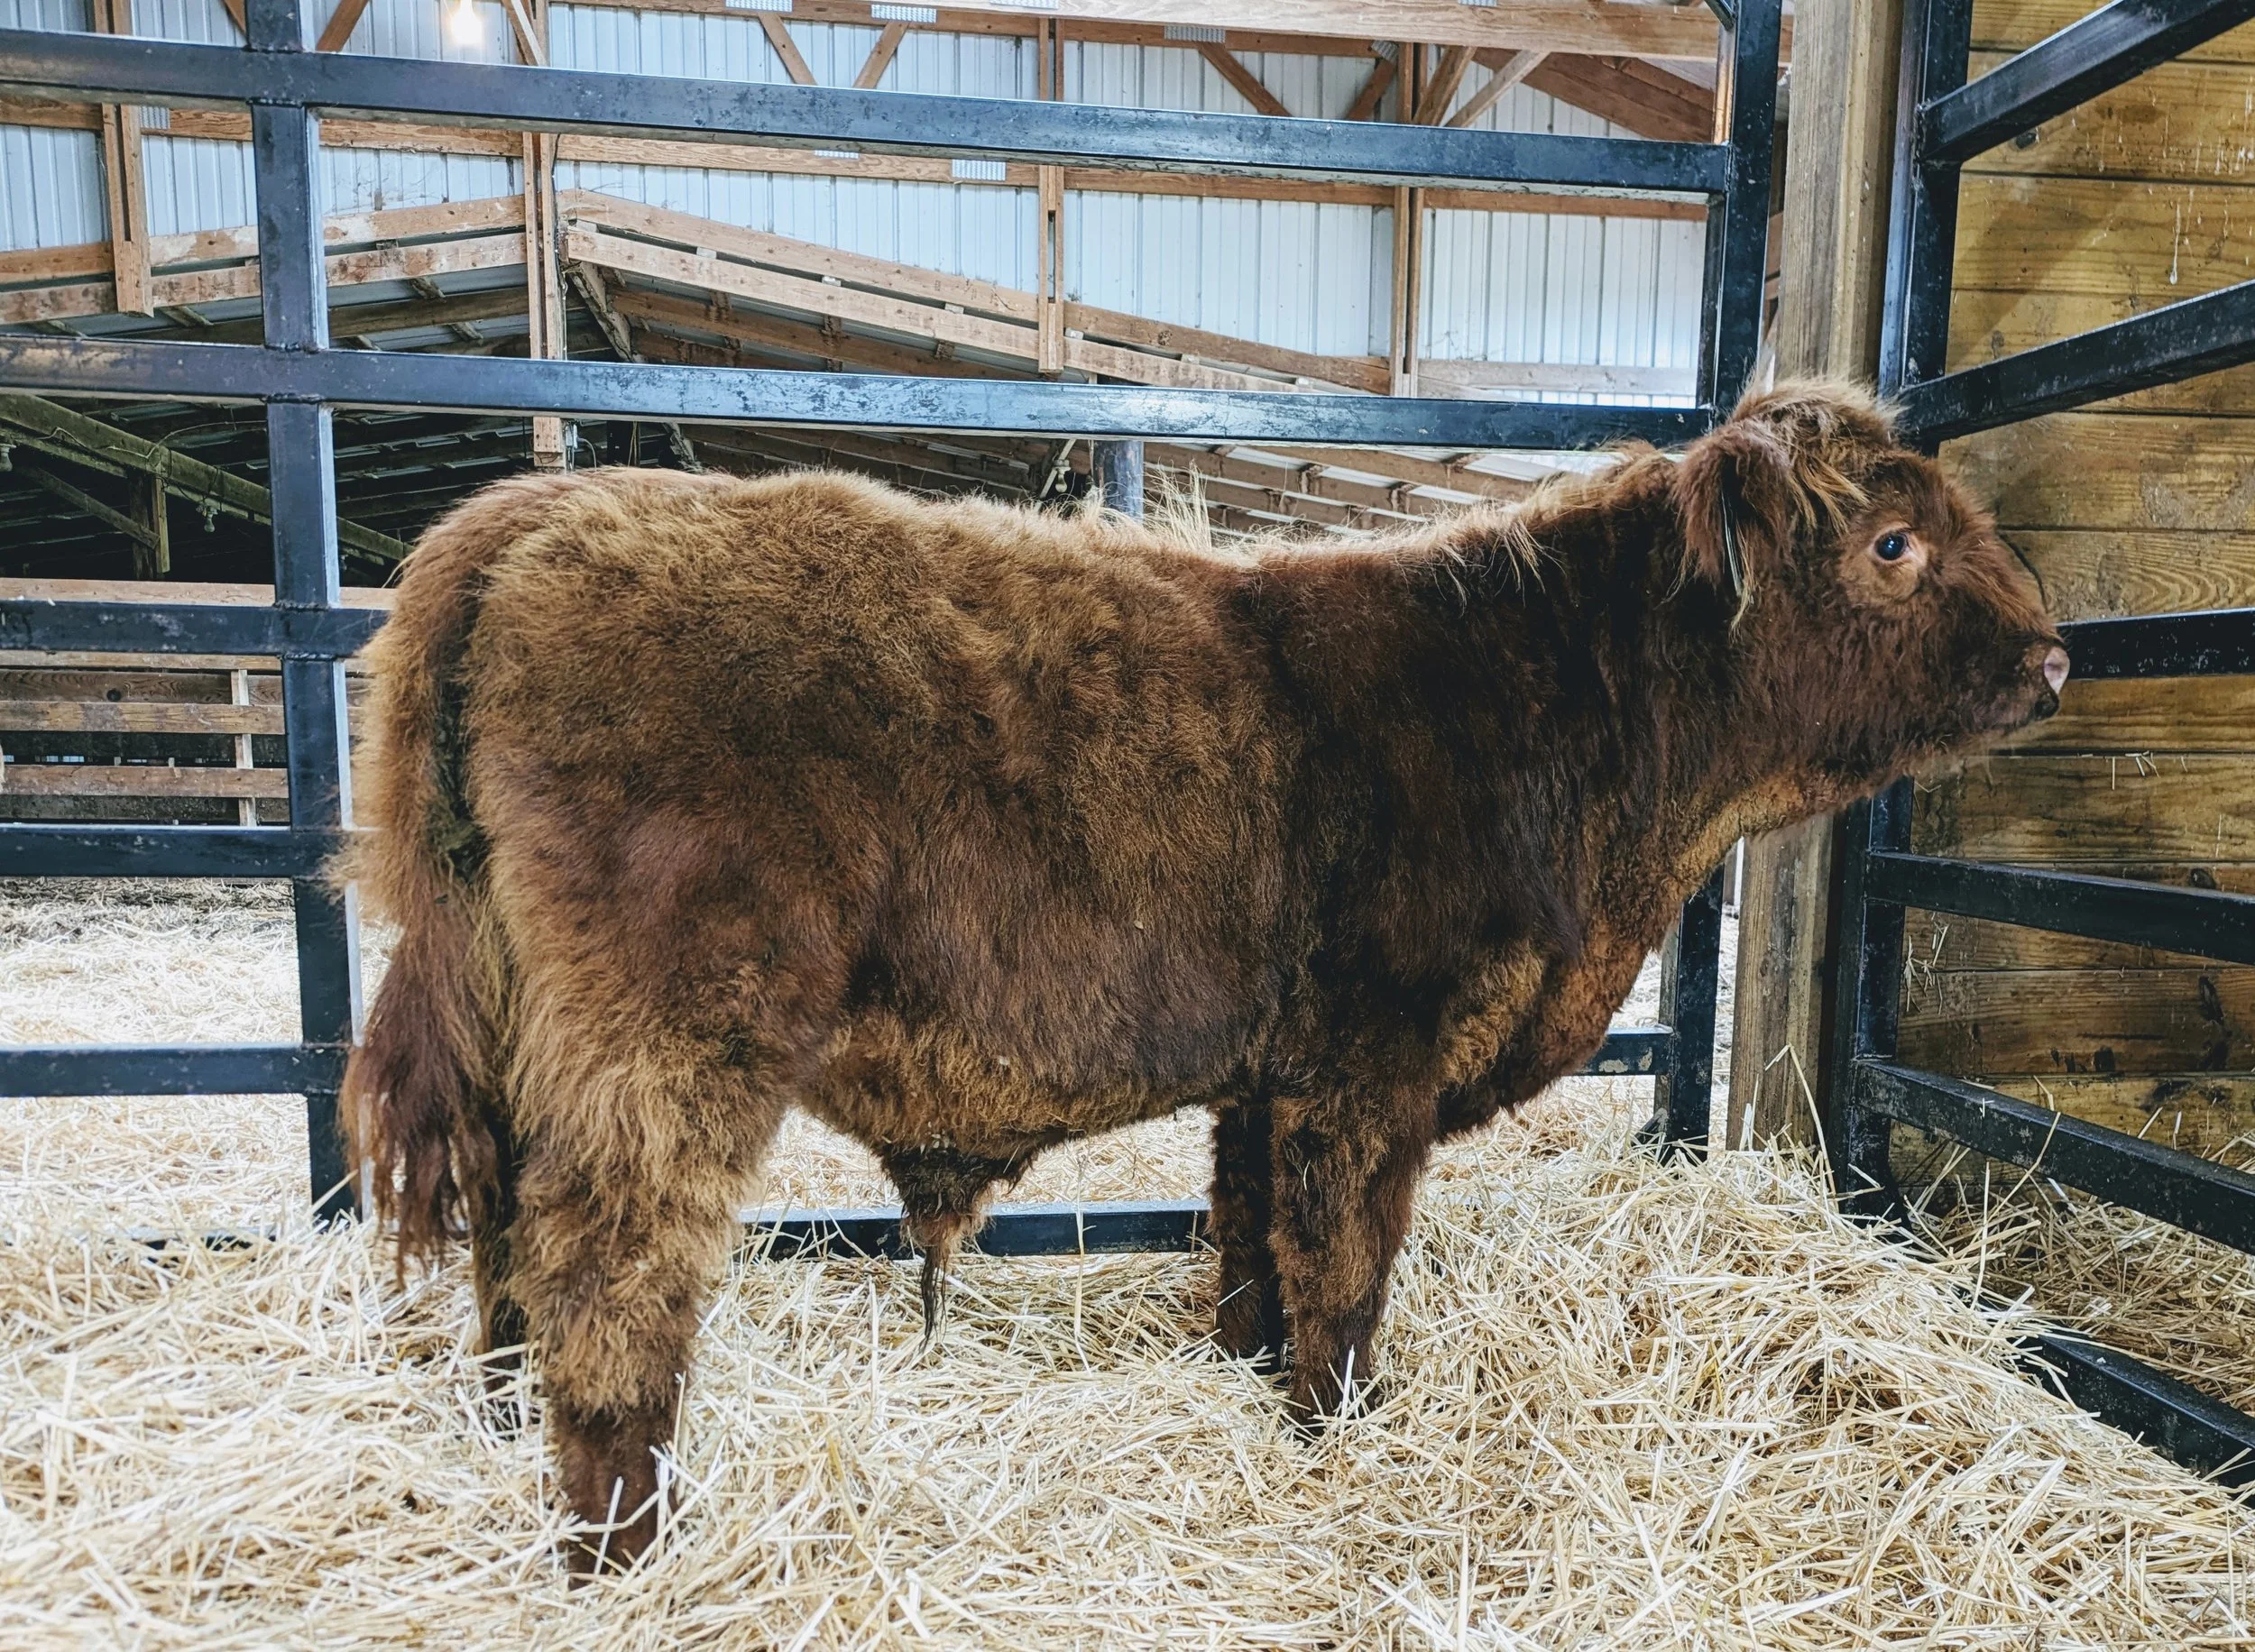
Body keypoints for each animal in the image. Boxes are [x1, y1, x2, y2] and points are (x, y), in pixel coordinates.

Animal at [341, 381, 2067, 1570]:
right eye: (1896, 541)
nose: (2055, 656)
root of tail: (535, 516)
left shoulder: (1274, 1066)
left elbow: (1250, 1244)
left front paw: (1248, 1383)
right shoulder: (1373, 1059)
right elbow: (1345, 1267)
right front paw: (1341, 1431)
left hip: (511, 1010)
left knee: (503, 1227)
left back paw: (502, 1424)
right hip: (668, 1027)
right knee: (608, 1258)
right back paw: (618, 1533)